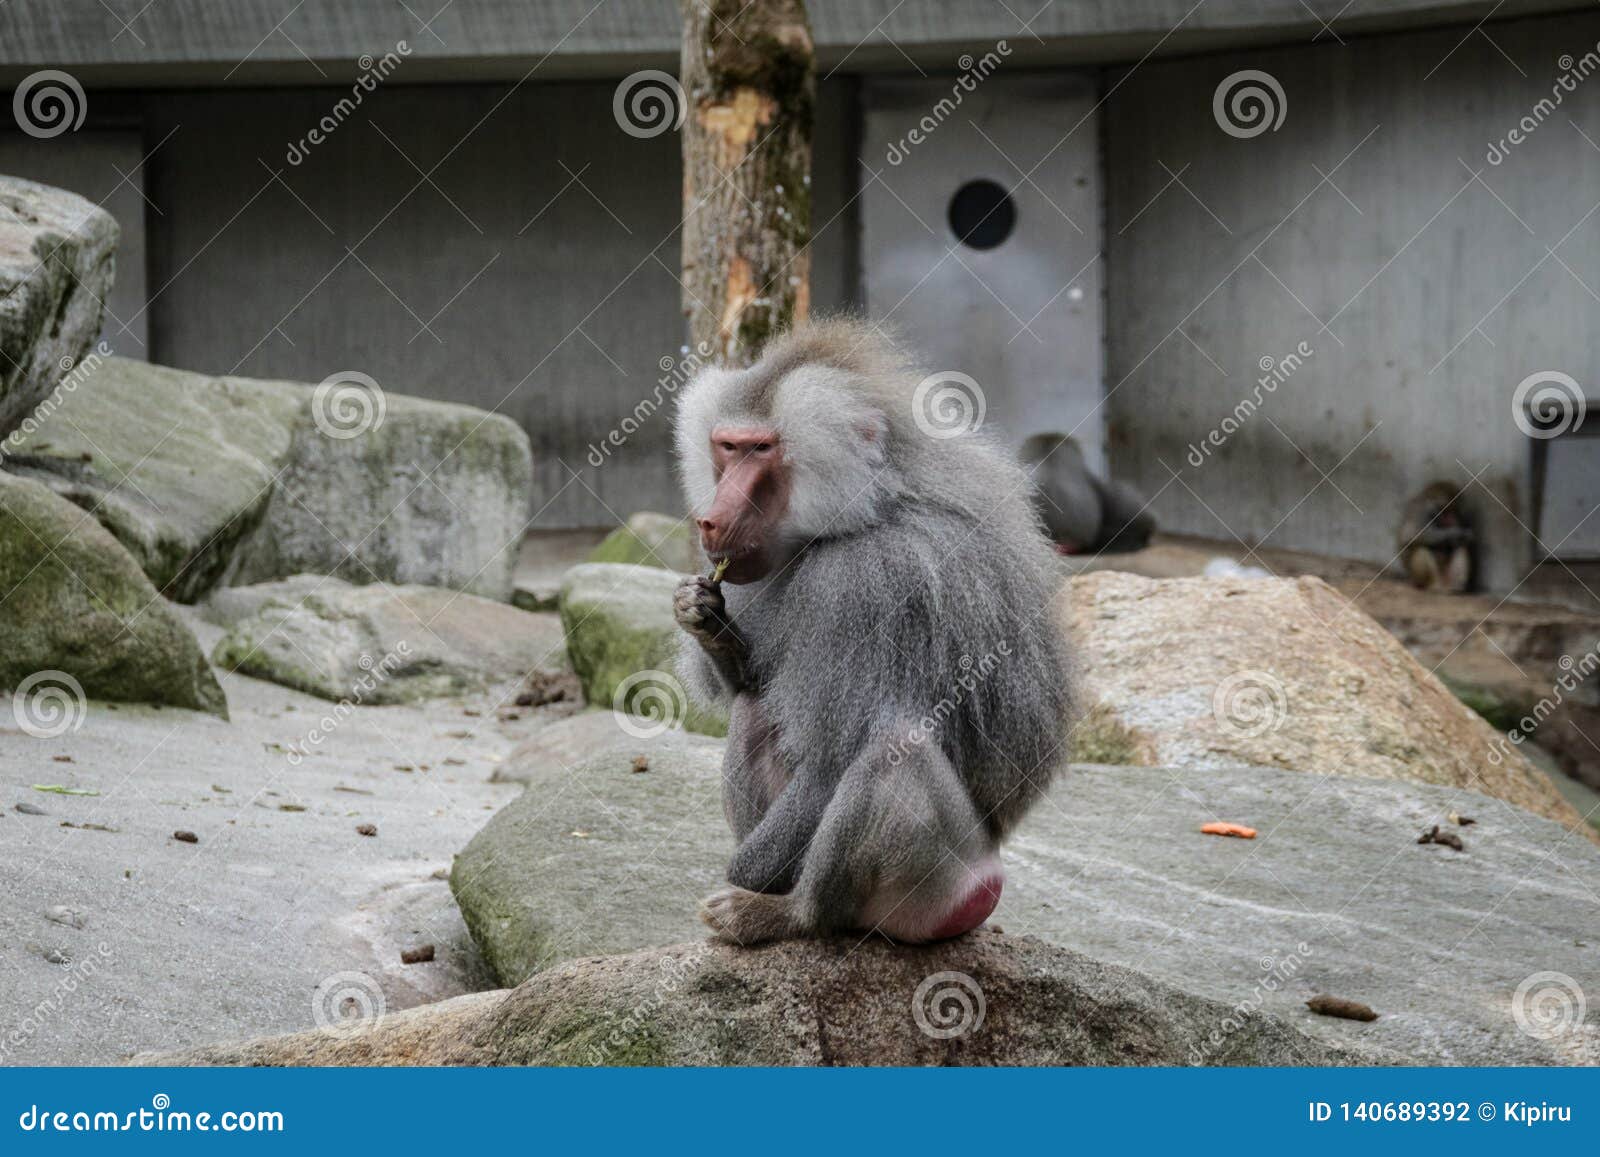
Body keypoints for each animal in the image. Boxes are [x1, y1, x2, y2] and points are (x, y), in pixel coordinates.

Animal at [671, 320, 1072, 946]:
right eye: (726, 447)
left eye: (762, 450)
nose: (709, 521)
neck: (870, 507)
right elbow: (751, 682)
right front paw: (702, 614)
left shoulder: (869, 582)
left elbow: (831, 761)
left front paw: (744, 877)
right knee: (755, 707)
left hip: (943, 882)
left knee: (892, 752)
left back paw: (782, 914)